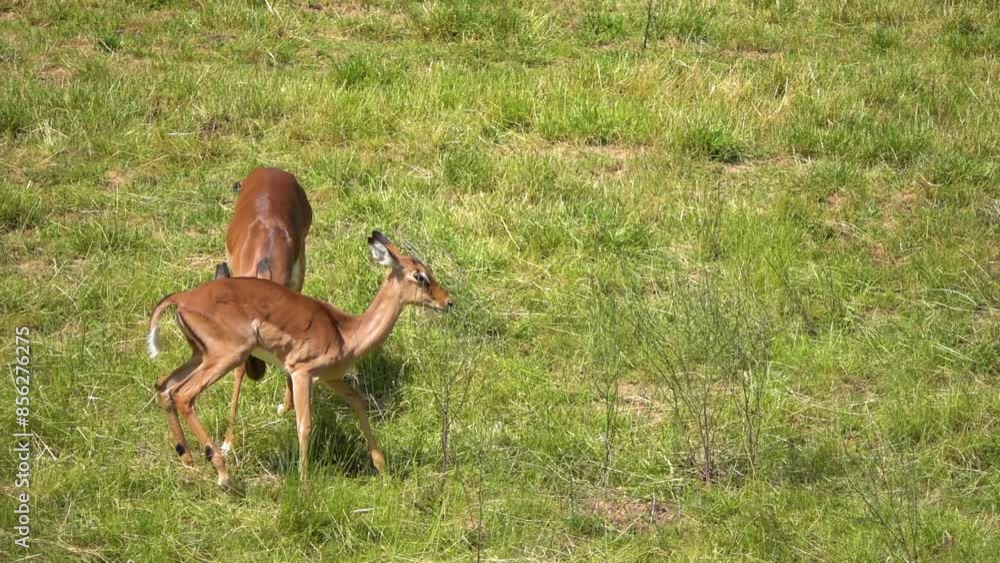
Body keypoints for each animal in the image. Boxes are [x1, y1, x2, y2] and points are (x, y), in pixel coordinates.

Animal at [147, 231, 452, 486]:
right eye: (420, 276)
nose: (448, 302)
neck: (345, 333)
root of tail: (181, 299)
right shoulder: (301, 372)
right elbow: (305, 425)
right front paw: (305, 483)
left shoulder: (330, 378)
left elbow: (358, 402)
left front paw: (382, 466)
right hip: (227, 356)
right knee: (184, 395)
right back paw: (222, 474)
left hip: (200, 354)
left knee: (163, 386)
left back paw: (187, 459)